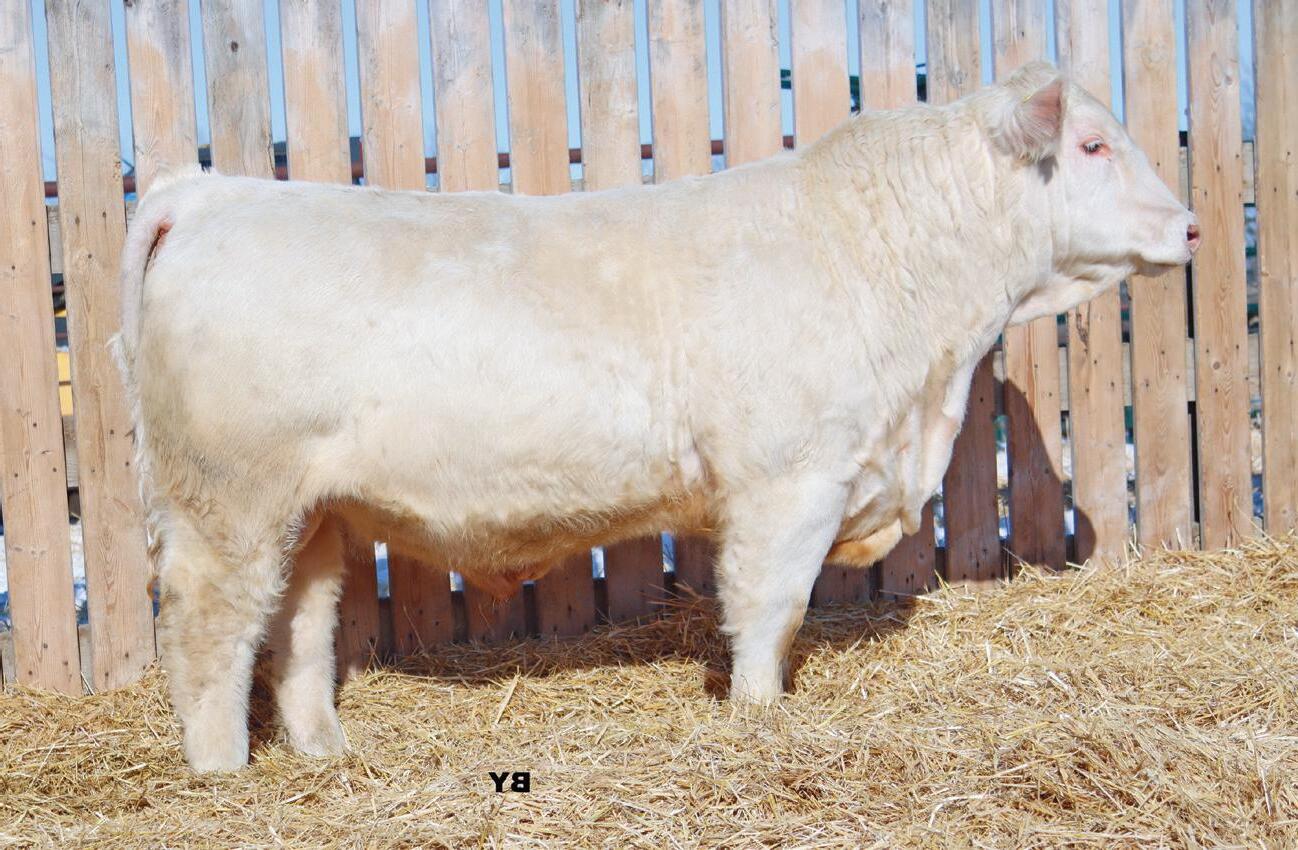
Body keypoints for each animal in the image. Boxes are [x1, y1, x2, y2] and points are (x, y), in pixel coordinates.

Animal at [113, 62, 1198, 772]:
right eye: (1092, 144)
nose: (1189, 226)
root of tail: (206, 192)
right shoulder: (788, 479)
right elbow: (768, 609)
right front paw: (758, 721)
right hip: (224, 497)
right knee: (207, 627)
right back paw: (222, 770)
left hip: (308, 509)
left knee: (297, 624)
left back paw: (327, 751)